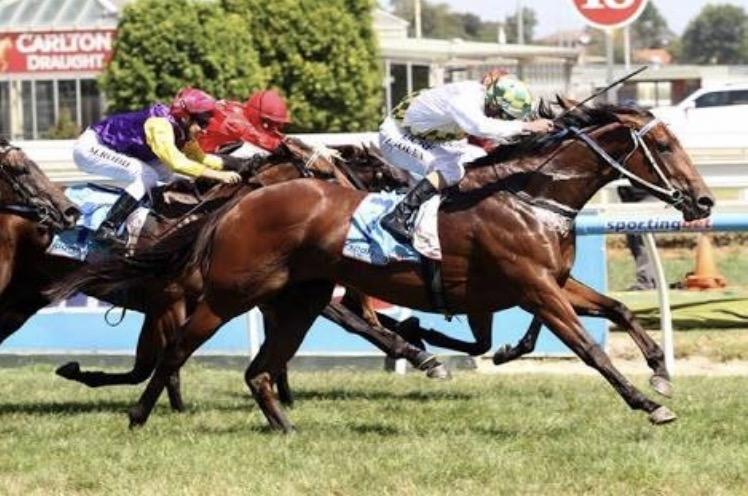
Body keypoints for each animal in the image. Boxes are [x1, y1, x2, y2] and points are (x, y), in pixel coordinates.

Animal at [53, 102, 713, 432]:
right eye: (665, 147)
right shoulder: (535, 288)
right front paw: (649, 402)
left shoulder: (553, 282)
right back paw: (138, 414)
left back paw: (287, 427)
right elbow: (590, 349)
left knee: (259, 369)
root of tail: (239, 202)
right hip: (229, 293)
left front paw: (660, 372)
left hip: (299, 299)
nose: (704, 202)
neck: (529, 195)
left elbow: (620, 309)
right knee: (176, 351)